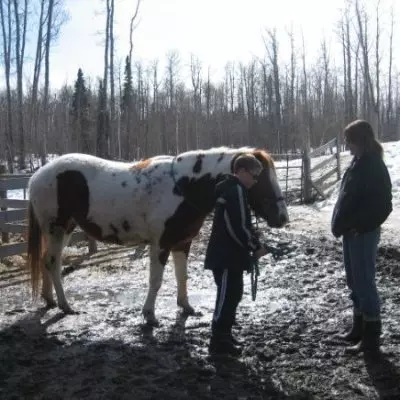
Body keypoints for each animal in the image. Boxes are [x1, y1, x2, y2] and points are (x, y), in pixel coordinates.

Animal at [26, 147, 290, 324]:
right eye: (260, 179)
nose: (282, 218)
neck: (182, 188)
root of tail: (37, 176)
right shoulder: (160, 244)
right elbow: (156, 280)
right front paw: (150, 315)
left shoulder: (182, 243)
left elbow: (182, 276)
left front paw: (186, 307)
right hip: (56, 228)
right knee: (53, 263)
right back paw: (65, 305)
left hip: (64, 228)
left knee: (47, 261)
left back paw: (50, 300)